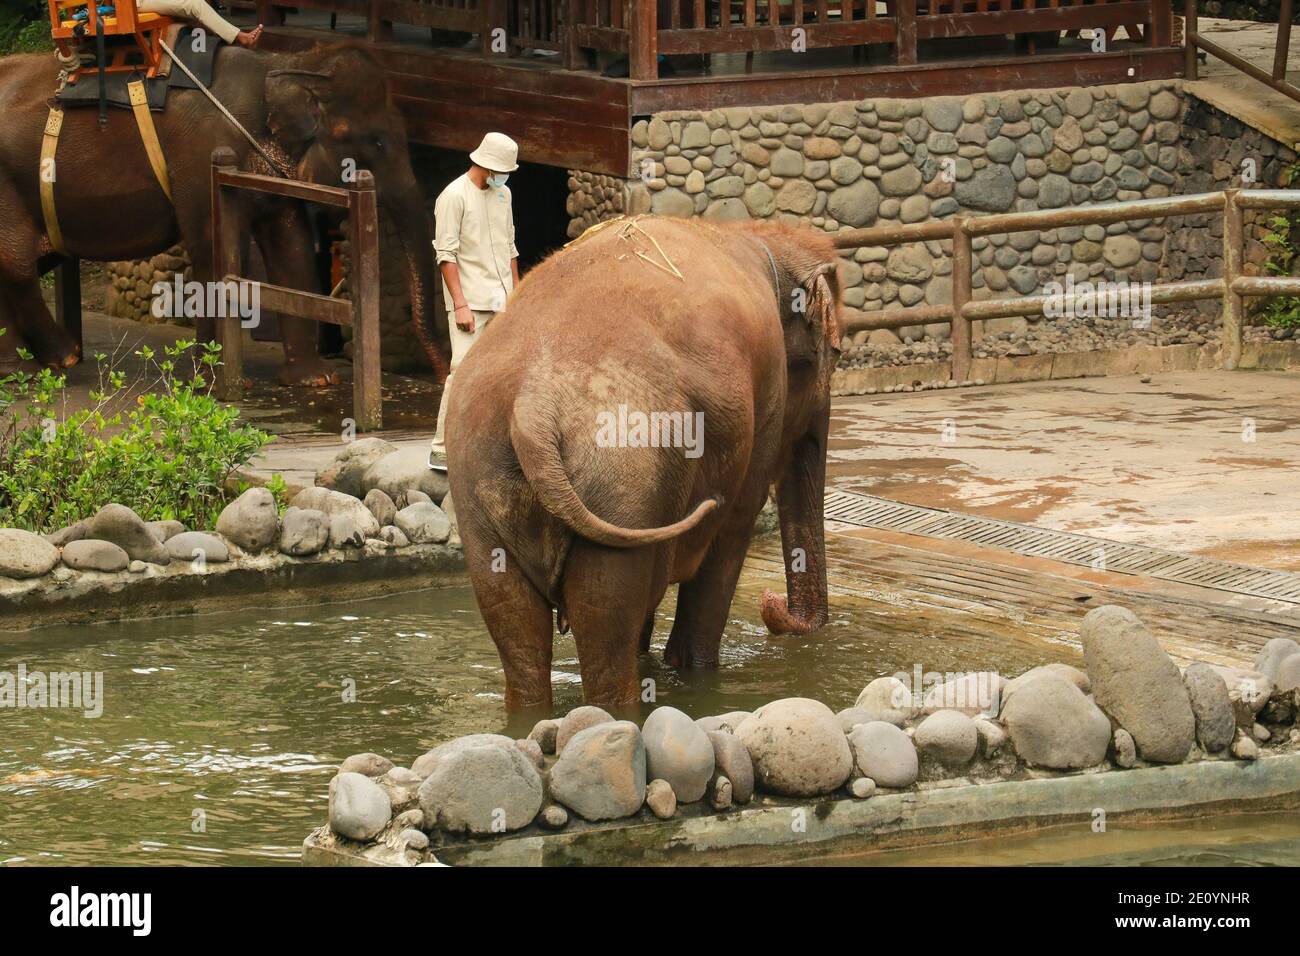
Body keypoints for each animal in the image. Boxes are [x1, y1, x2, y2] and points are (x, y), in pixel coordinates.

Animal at [0, 43, 449, 385]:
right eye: (376, 141)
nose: (444, 375)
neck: (282, 64)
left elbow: (292, 249)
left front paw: (314, 379)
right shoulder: (204, 159)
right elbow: (212, 246)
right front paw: (214, 377)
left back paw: (19, 368)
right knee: (17, 265)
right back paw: (61, 358)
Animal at [445, 217, 842, 711]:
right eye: (833, 356)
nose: (773, 604)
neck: (763, 238)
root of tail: (532, 410)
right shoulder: (764, 405)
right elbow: (732, 533)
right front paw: (693, 670)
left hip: (483, 485)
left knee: (513, 620)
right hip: (625, 482)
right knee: (606, 621)